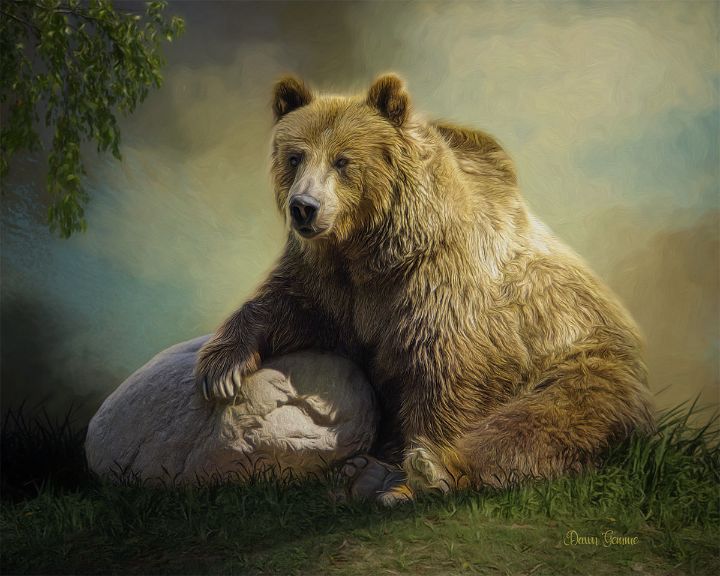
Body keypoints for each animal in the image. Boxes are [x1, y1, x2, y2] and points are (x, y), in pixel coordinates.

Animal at [195, 73, 655, 505]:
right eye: (295, 156)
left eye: (343, 161)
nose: (304, 207)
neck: (370, 249)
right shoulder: (331, 284)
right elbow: (288, 306)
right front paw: (222, 370)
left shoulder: (435, 284)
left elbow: (448, 372)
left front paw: (418, 468)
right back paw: (362, 472)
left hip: (584, 361)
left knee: (546, 417)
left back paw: (427, 471)